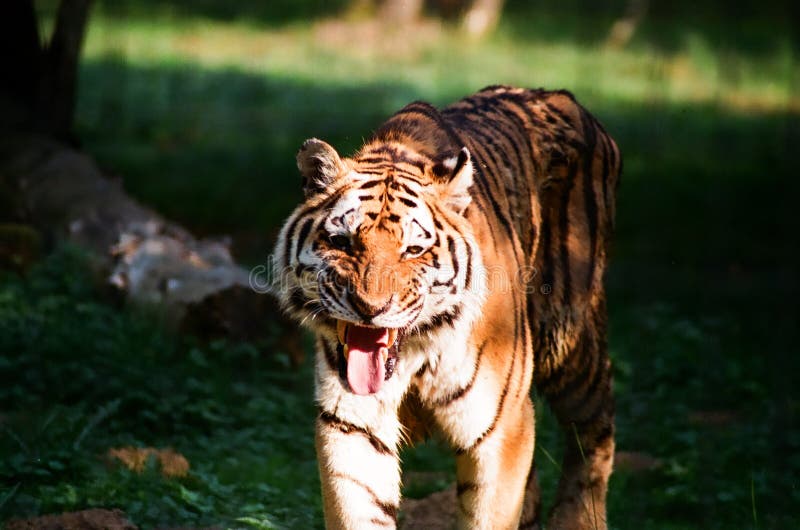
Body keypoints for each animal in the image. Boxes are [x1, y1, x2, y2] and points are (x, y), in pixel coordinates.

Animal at [272, 85, 621, 530]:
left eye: (412, 250)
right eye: (342, 242)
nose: (369, 308)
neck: (412, 355)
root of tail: (566, 97)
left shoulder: (500, 427)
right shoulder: (351, 424)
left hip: (567, 338)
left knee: (595, 429)